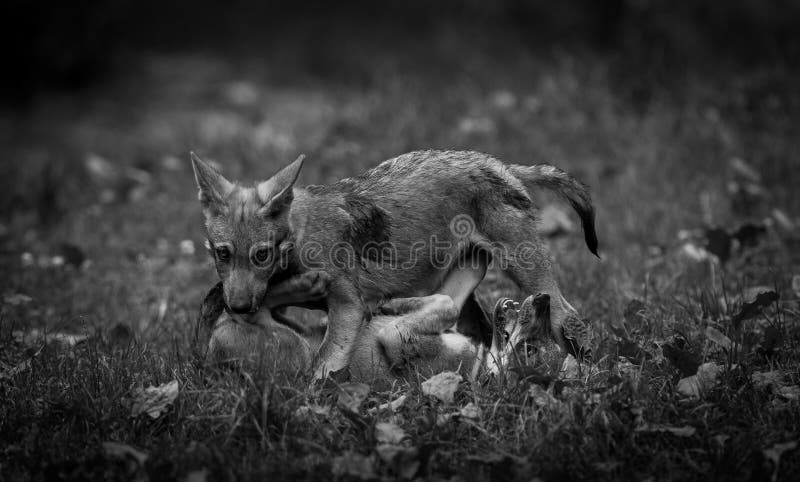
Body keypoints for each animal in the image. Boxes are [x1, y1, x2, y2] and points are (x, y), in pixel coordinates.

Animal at [191, 149, 598, 379]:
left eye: (261, 254)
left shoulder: (347, 308)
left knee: (569, 318)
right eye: (222, 253)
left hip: (525, 273)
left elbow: (321, 364)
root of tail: (501, 165)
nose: (239, 306)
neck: (299, 236)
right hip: (469, 272)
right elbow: (234, 299)